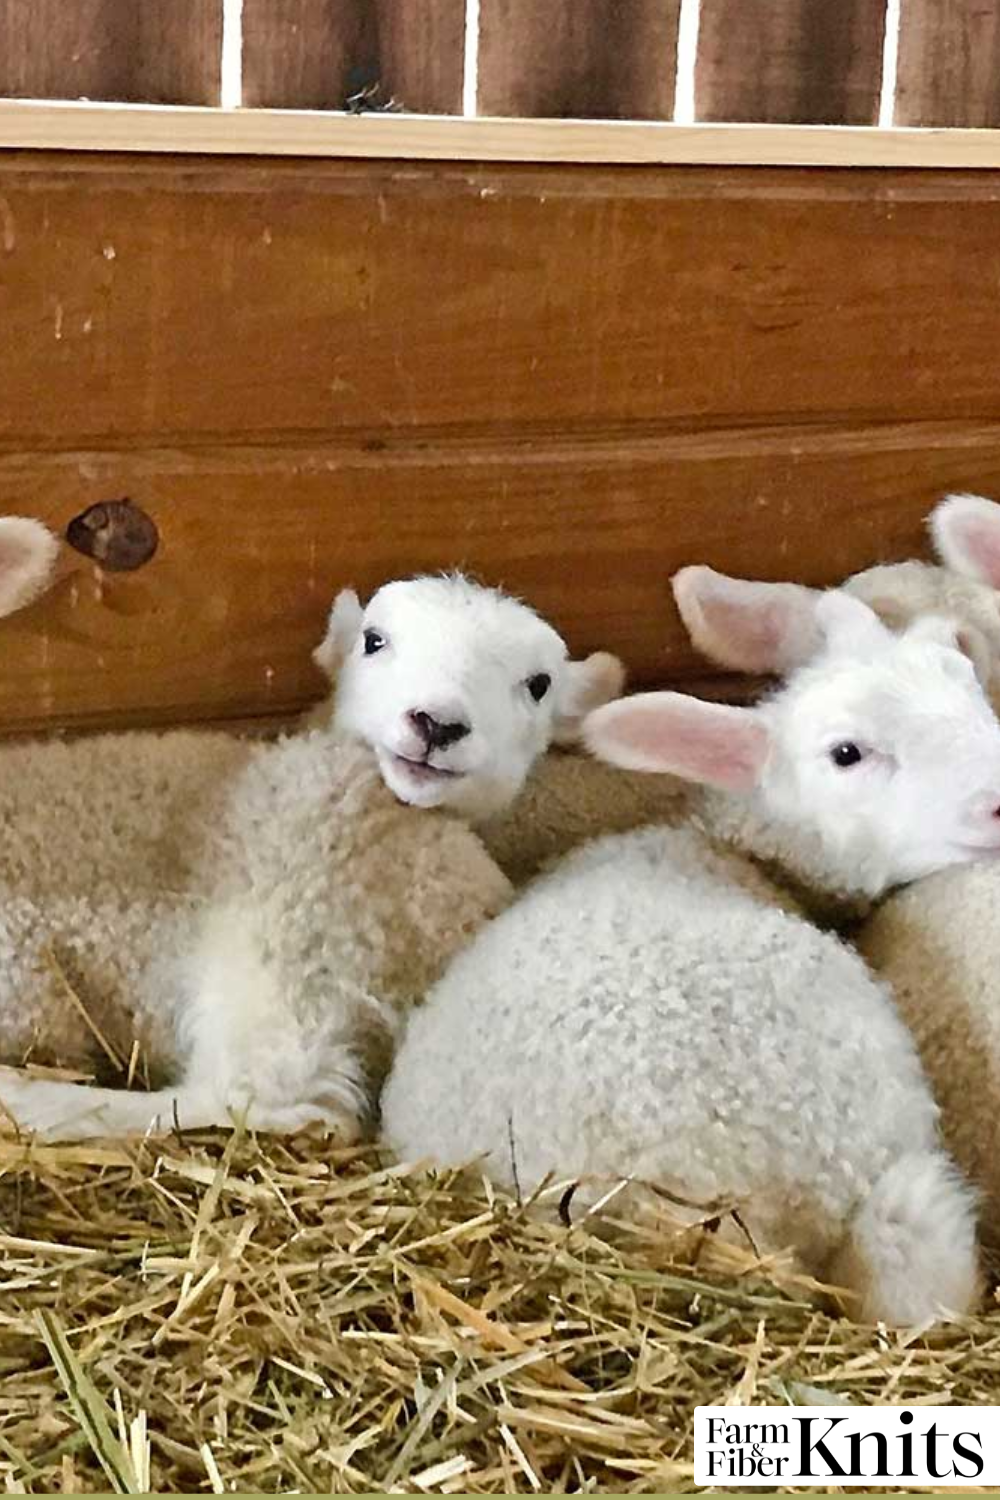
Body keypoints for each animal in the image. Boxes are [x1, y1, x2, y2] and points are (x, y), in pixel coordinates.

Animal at [0, 573, 621, 1143]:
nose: (438, 723)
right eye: (374, 640)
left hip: (286, 947)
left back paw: (30, 1102)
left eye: (539, 685)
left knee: (270, 1096)